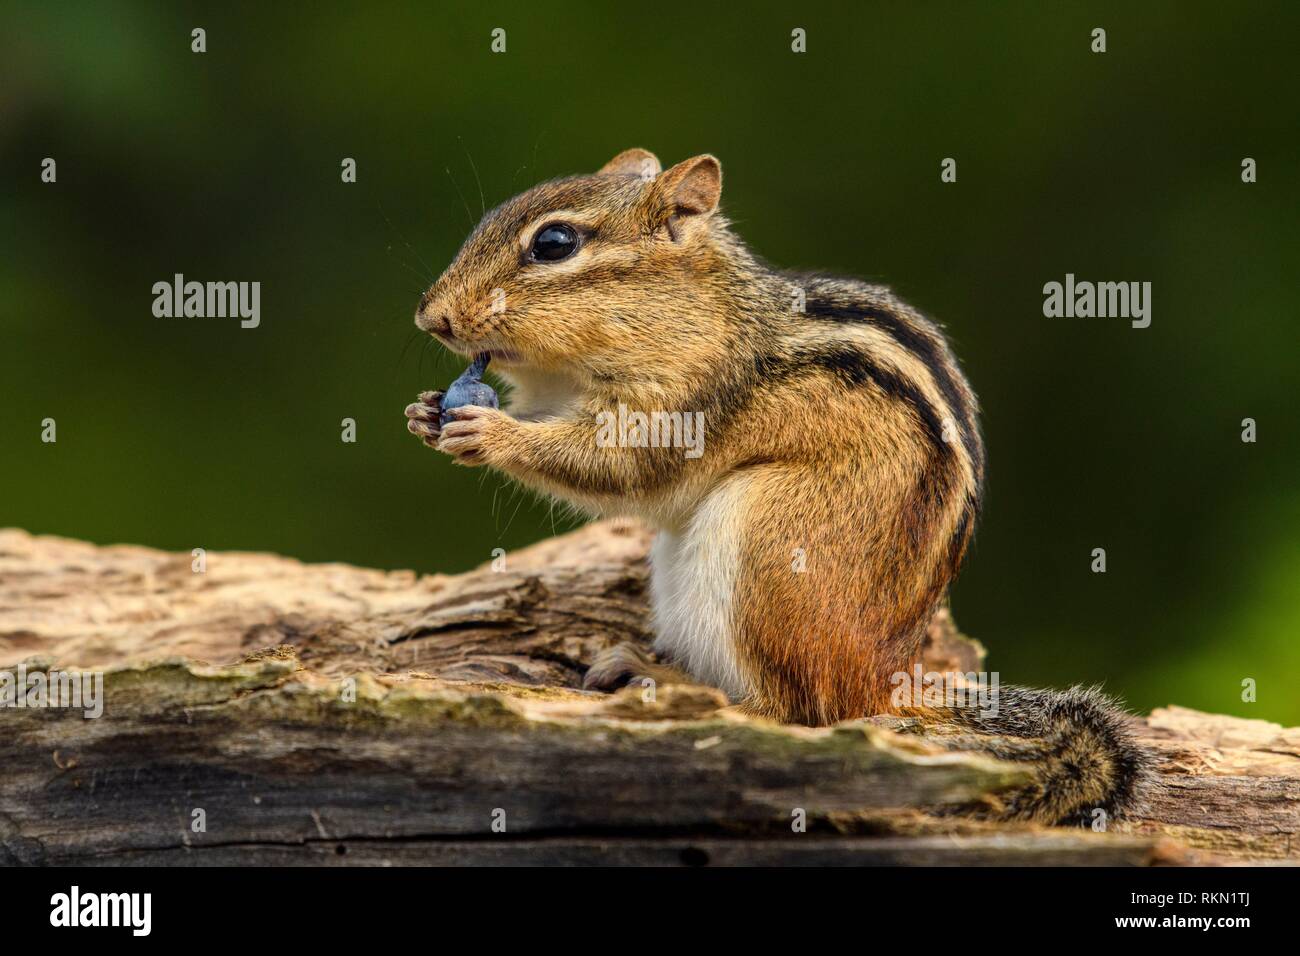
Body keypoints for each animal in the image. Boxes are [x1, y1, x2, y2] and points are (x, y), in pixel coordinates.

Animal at [405, 148, 1150, 826]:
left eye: (554, 244)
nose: (430, 318)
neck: (698, 316)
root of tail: (882, 680)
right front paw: (424, 411)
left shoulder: (682, 404)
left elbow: (617, 467)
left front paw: (492, 434)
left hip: (764, 539)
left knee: (795, 712)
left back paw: (663, 681)